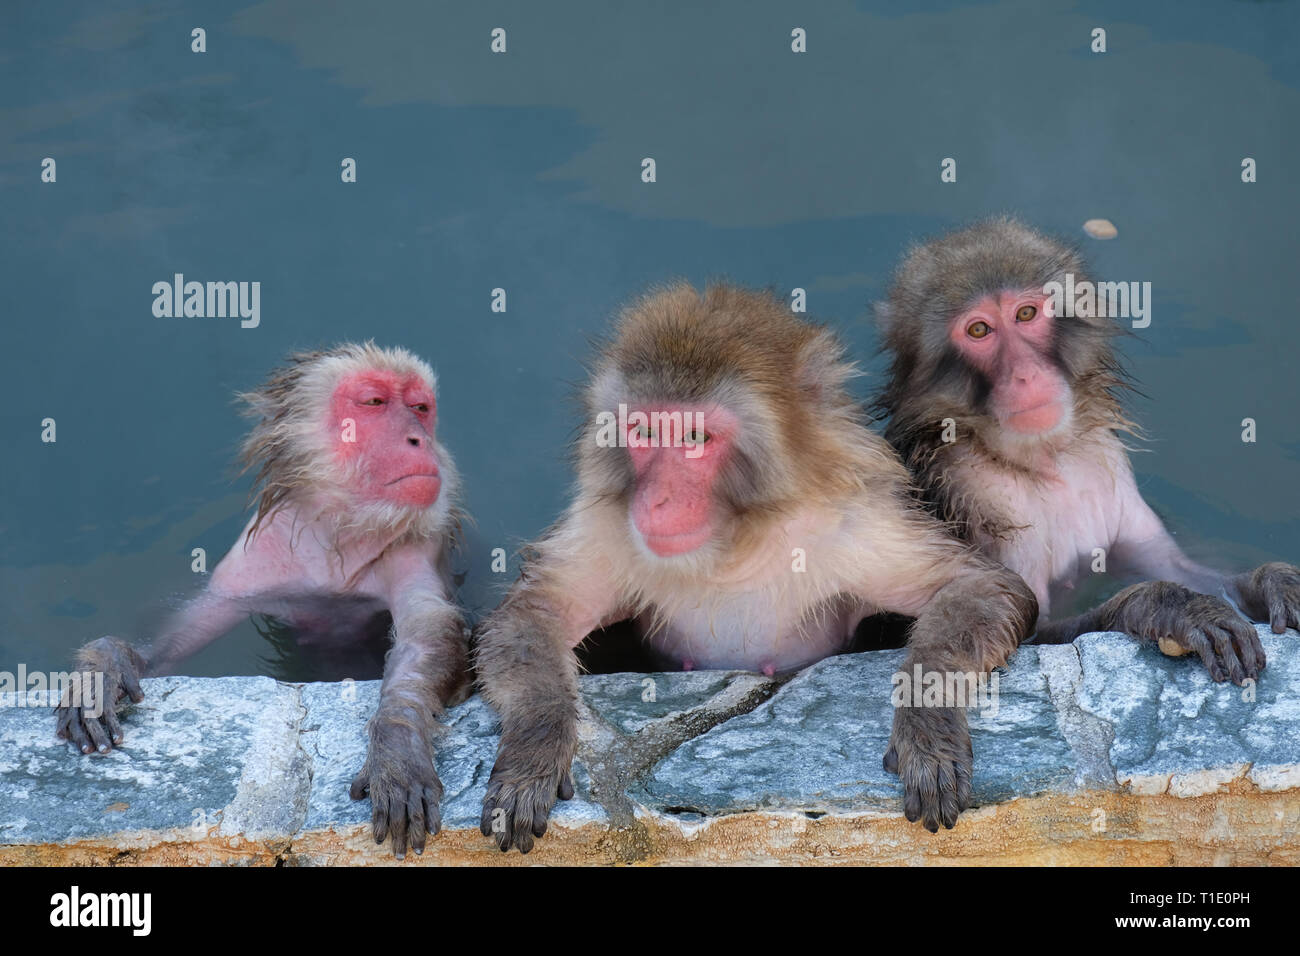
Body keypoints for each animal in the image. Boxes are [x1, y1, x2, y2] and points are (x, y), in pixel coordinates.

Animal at [54, 342, 468, 859]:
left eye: (420, 408)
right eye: (374, 403)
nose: (417, 439)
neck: (339, 533)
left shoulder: (416, 549)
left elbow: (424, 638)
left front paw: (397, 742)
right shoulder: (257, 558)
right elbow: (193, 625)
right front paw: (108, 662)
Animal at [474, 283, 1038, 850]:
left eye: (695, 438)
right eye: (643, 431)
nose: (655, 501)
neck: (734, 545)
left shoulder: (855, 525)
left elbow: (979, 585)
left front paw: (928, 727)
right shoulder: (607, 527)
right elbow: (533, 613)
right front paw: (534, 751)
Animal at [873, 217, 1300, 684]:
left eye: (1025, 314)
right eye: (979, 330)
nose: (1025, 374)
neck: (1040, 462)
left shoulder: (1103, 458)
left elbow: (1170, 563)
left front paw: (1271, 582)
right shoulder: (974, 490)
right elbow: (1025, 629)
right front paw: (1172, 607)